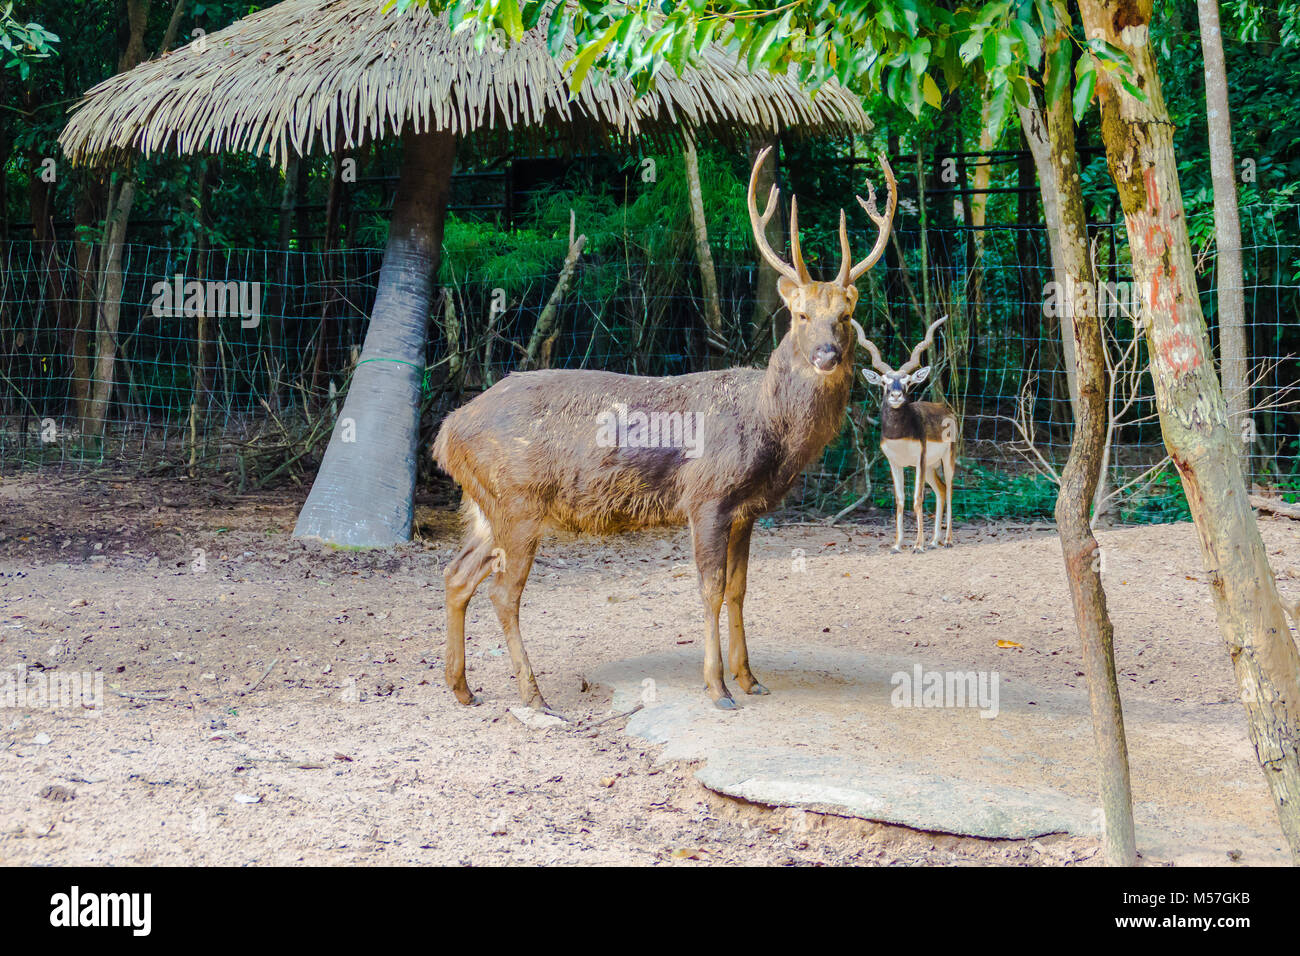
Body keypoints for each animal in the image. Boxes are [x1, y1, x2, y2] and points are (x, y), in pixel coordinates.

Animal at [432, 146, 896, 712]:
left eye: (846, 315)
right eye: (800, 315)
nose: (827, 355)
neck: (767, 427)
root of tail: (446, 433)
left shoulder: (746, 511)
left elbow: (740, 589)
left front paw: (751, 678)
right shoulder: (706, 496)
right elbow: (710, 589)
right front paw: (718, 688)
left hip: (485, 504)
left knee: (456, 575)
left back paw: (462, 688)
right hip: (518, 501)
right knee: (503, 591)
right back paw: (533, 694)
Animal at [854, 315, 956, 552]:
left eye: (908, 381)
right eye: (884, 382)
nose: (896, 395)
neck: (899, 435)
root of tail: (945, 409)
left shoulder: (918, 460)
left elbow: (917, 499)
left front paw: (917, 545)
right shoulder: (894, 463)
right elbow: (900, 500)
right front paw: (897, 544)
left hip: (946, 459)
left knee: (949, 490)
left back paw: (947, 540)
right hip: (931, 466)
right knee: (940, 490)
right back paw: (934, 540)